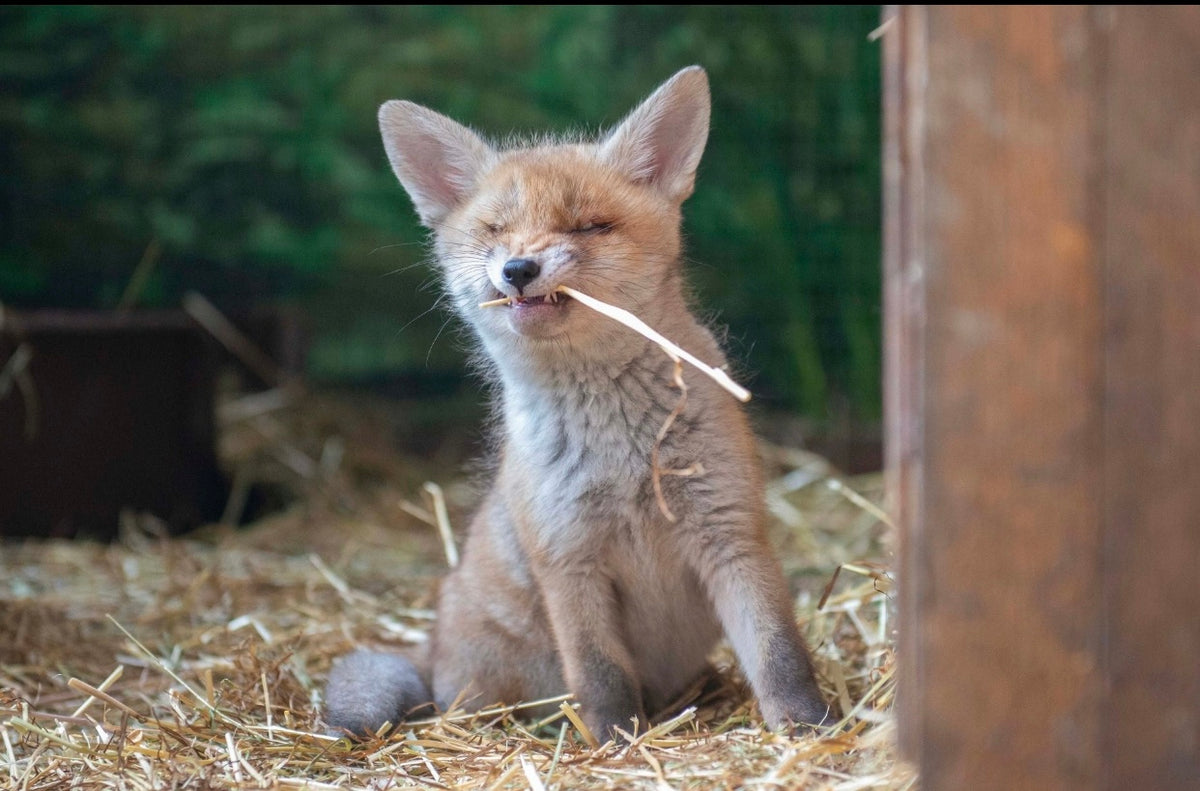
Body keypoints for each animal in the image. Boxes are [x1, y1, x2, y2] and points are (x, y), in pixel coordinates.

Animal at [324, 65, 831, 741]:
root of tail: (430, 647)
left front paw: (809, 728)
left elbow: (779, 655)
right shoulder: (568, 560)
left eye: (589, 226)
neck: (623, 452)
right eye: (495, 232)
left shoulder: (732, 535)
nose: (517, 268)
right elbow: (600, 675)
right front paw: (616, 742)